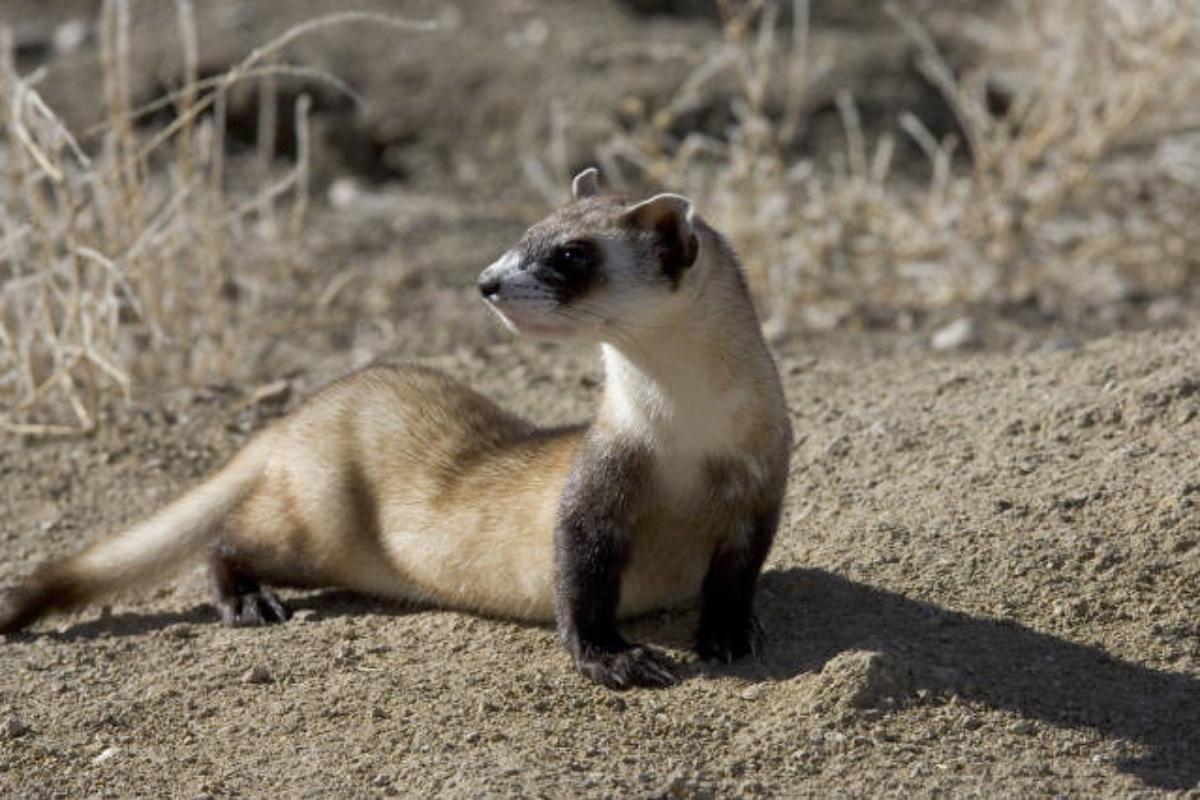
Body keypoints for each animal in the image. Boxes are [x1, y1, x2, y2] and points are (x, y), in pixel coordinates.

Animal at [0, 169, 792, 689]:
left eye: (573, 253)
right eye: (524, 230)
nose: (487, 280)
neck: (689, 437)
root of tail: (301, 414)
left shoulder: (761, 493)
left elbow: (736, 577)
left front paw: (727, 634)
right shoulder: (593, 490)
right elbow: (578, 582)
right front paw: (616, 659)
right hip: (314, 530)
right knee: (228, 538)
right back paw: (248, 599)